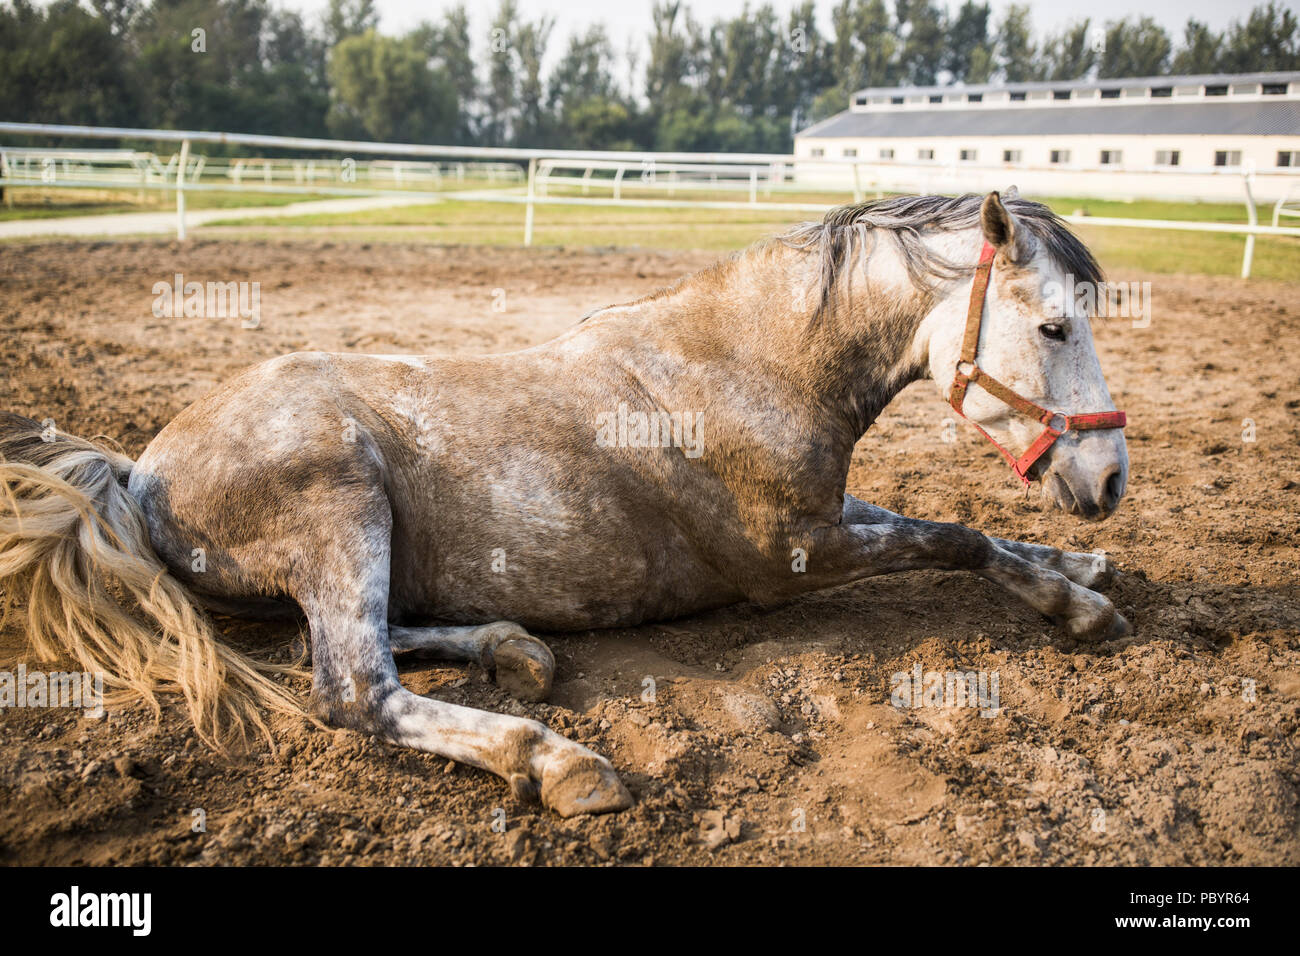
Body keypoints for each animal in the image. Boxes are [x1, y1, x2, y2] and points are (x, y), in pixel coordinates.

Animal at [0, 190, 1129, 817]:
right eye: (1056, 325)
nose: (1111, 479)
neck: (743, 360)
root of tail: (141, 471)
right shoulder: (797, 552)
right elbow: (955, 536)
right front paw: (1079, 607)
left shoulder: (831, 516)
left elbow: (963, 530)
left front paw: (1079, 568)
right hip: (342, 508)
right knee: (353, 686)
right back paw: (557, 759)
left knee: (361, 637)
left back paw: (513, 647)